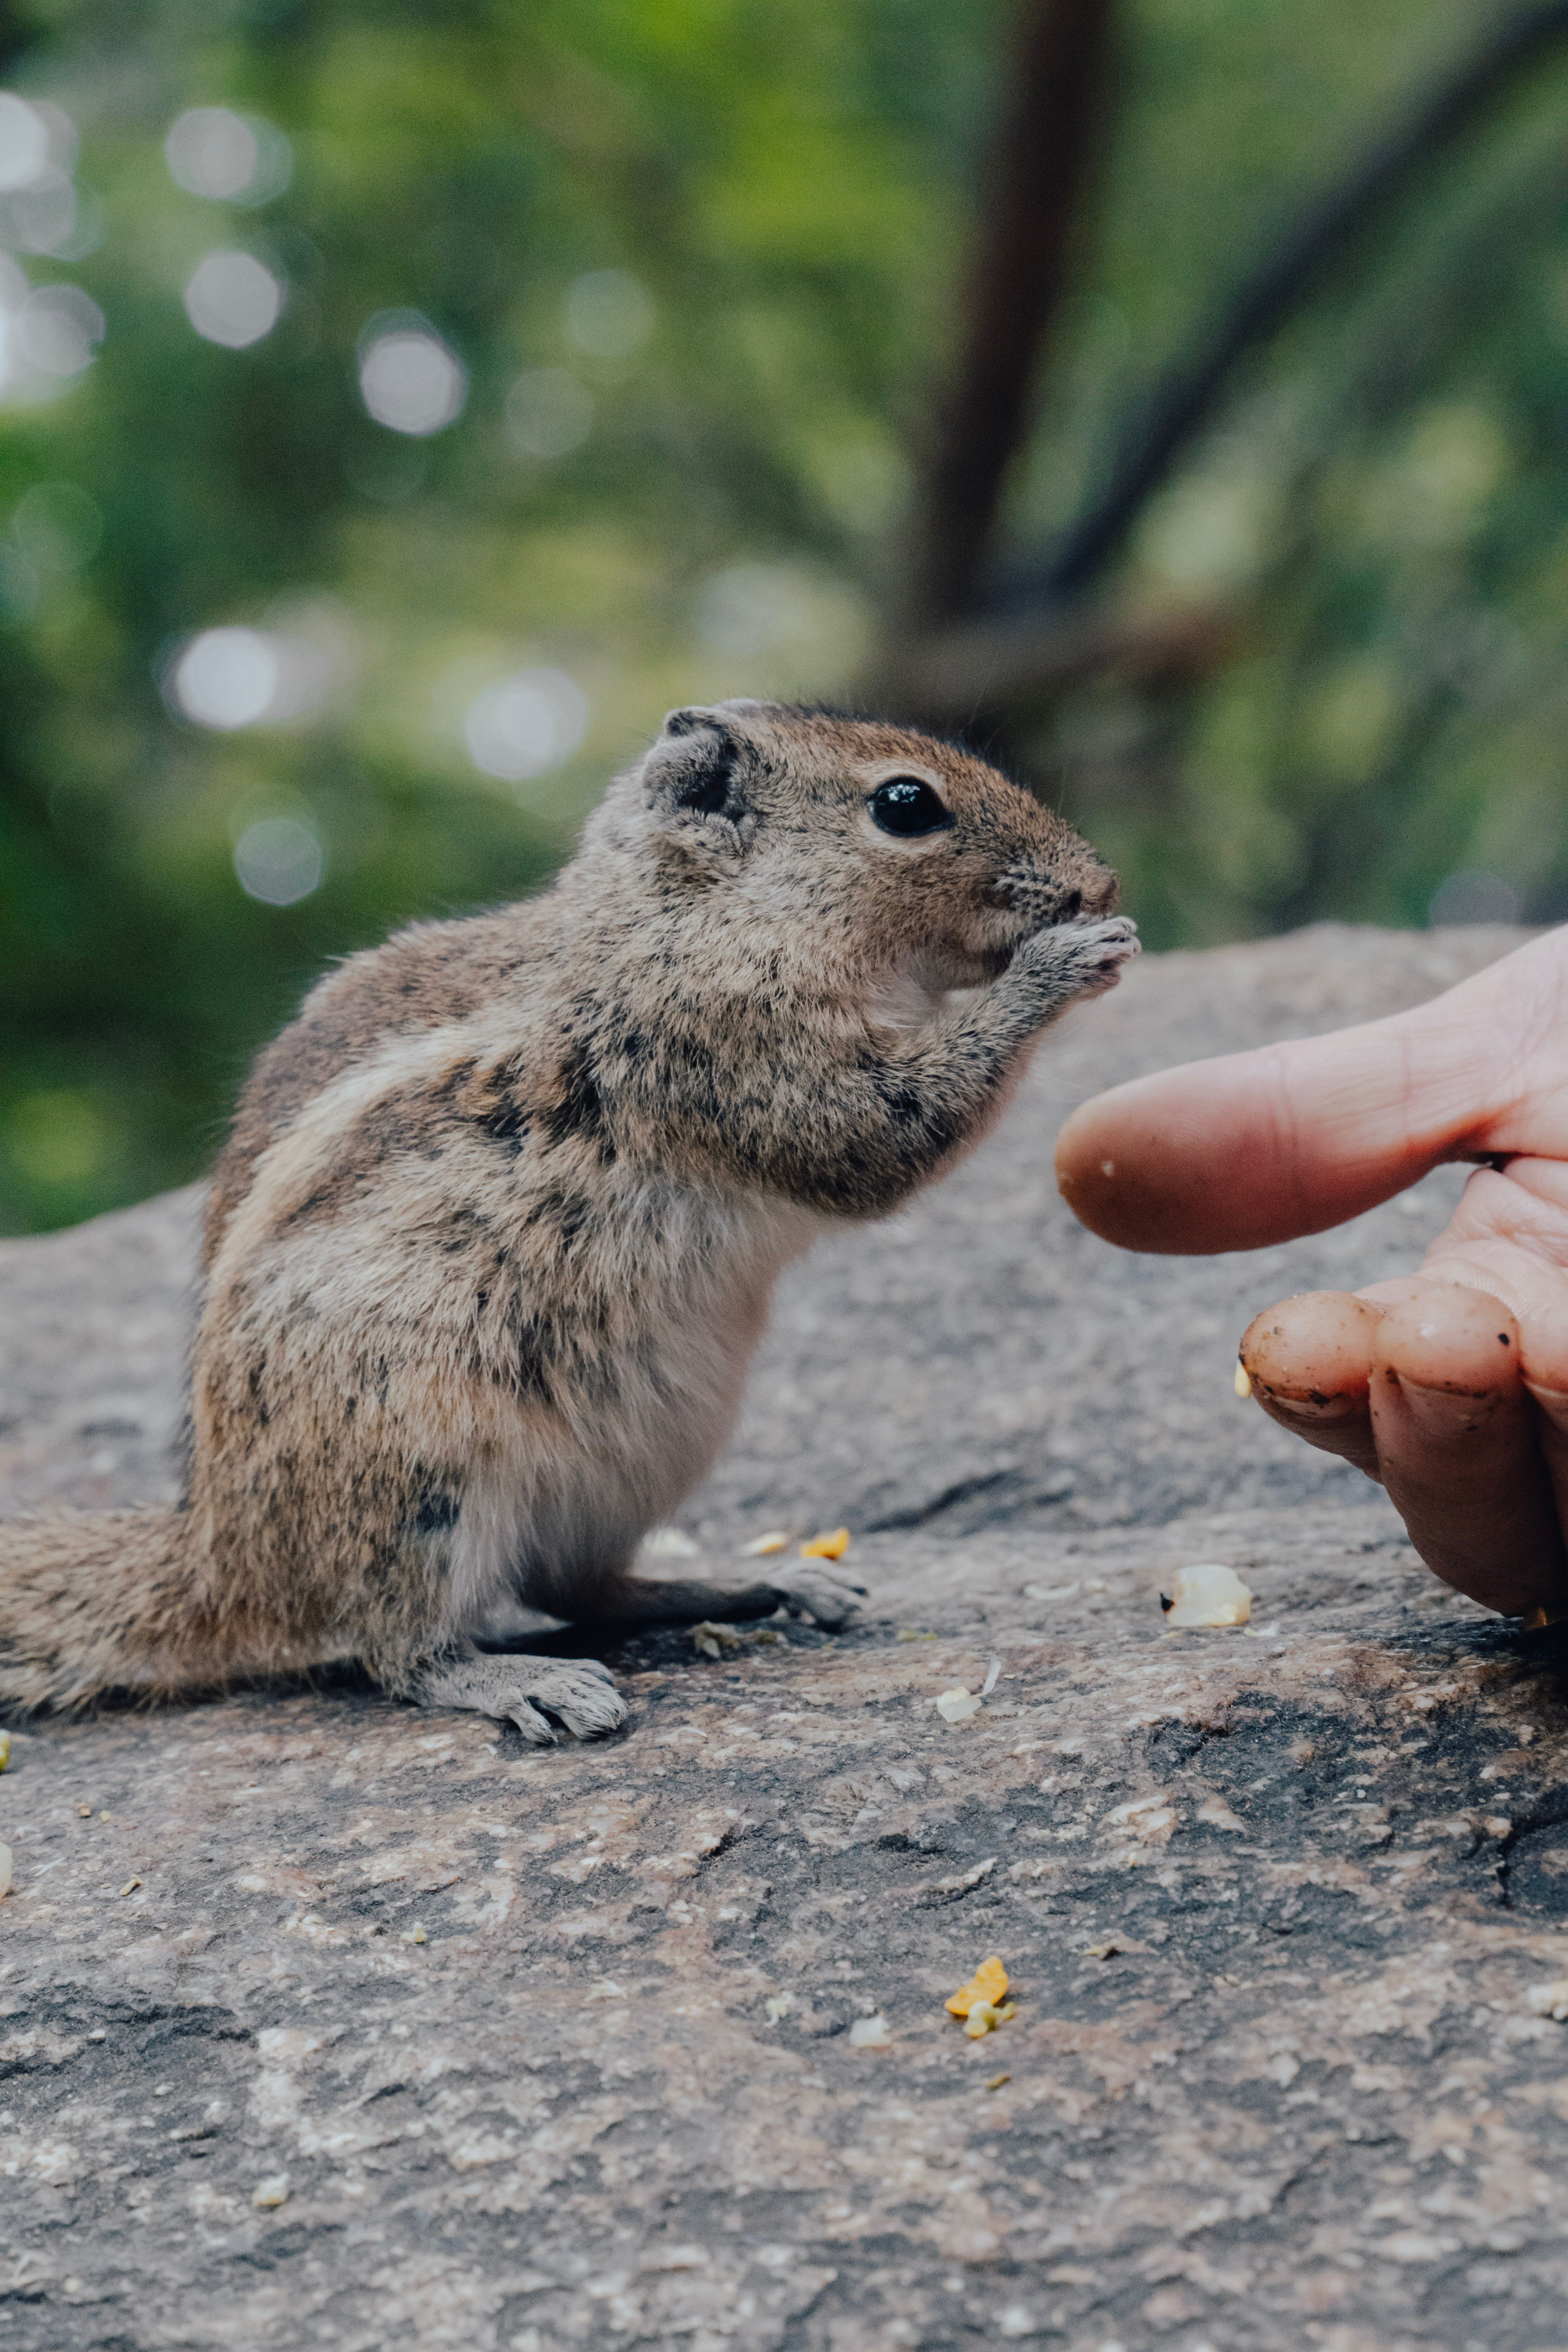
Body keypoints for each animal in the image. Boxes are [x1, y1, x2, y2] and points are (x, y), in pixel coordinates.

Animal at [0, 701, 1135, 1742]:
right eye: (906, 804)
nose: (1101, 884)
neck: (683, 920)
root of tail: (217, 1553)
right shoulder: (744, 1062)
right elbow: (892, 1132)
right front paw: (1063, 963)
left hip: (649, 1455)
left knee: (582, 1590)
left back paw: (759, 1586)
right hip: (423, 1478)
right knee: (398, 1647)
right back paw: (520, 1682)